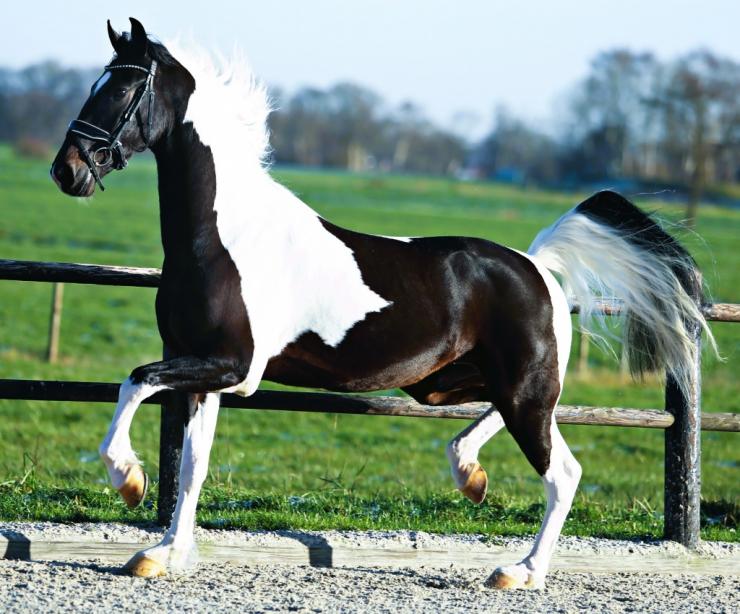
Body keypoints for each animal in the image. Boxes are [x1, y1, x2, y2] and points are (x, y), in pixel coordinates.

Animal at [51, 18, 715, 588]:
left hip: (523, 392)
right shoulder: (207, 375)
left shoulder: (231, 367)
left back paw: (520, 570)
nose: (67, 170)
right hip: (454, 385)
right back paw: (469, 474)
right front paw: (162, 554)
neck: (222, 236)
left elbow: (135, 381)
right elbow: (191, 469)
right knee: (508, 431)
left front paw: (128, 478)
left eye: (125, 87)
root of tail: (538, 265)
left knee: (564, 475)